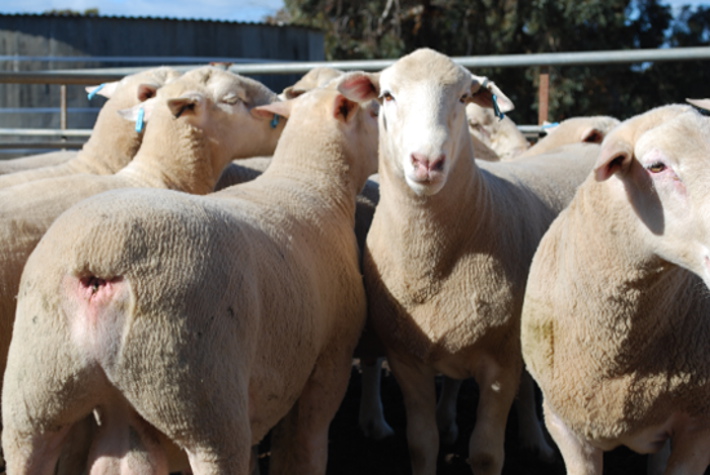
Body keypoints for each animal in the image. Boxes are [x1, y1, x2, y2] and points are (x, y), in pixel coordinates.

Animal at [2, 79, 378, 474]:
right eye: (373, 112)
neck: (309, 183)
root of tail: (98, 259)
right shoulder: (331, 359)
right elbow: (306, 448)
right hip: (200, 398)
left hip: (38, 395)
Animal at [337, 47, 604, 475]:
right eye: (387, 96)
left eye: (463, 98)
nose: (427, 162)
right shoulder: (406, 357)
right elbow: (420, 443)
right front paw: (436, 435)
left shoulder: (501, 360)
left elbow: (486, 452)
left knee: (526, 387)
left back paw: (535, 441)